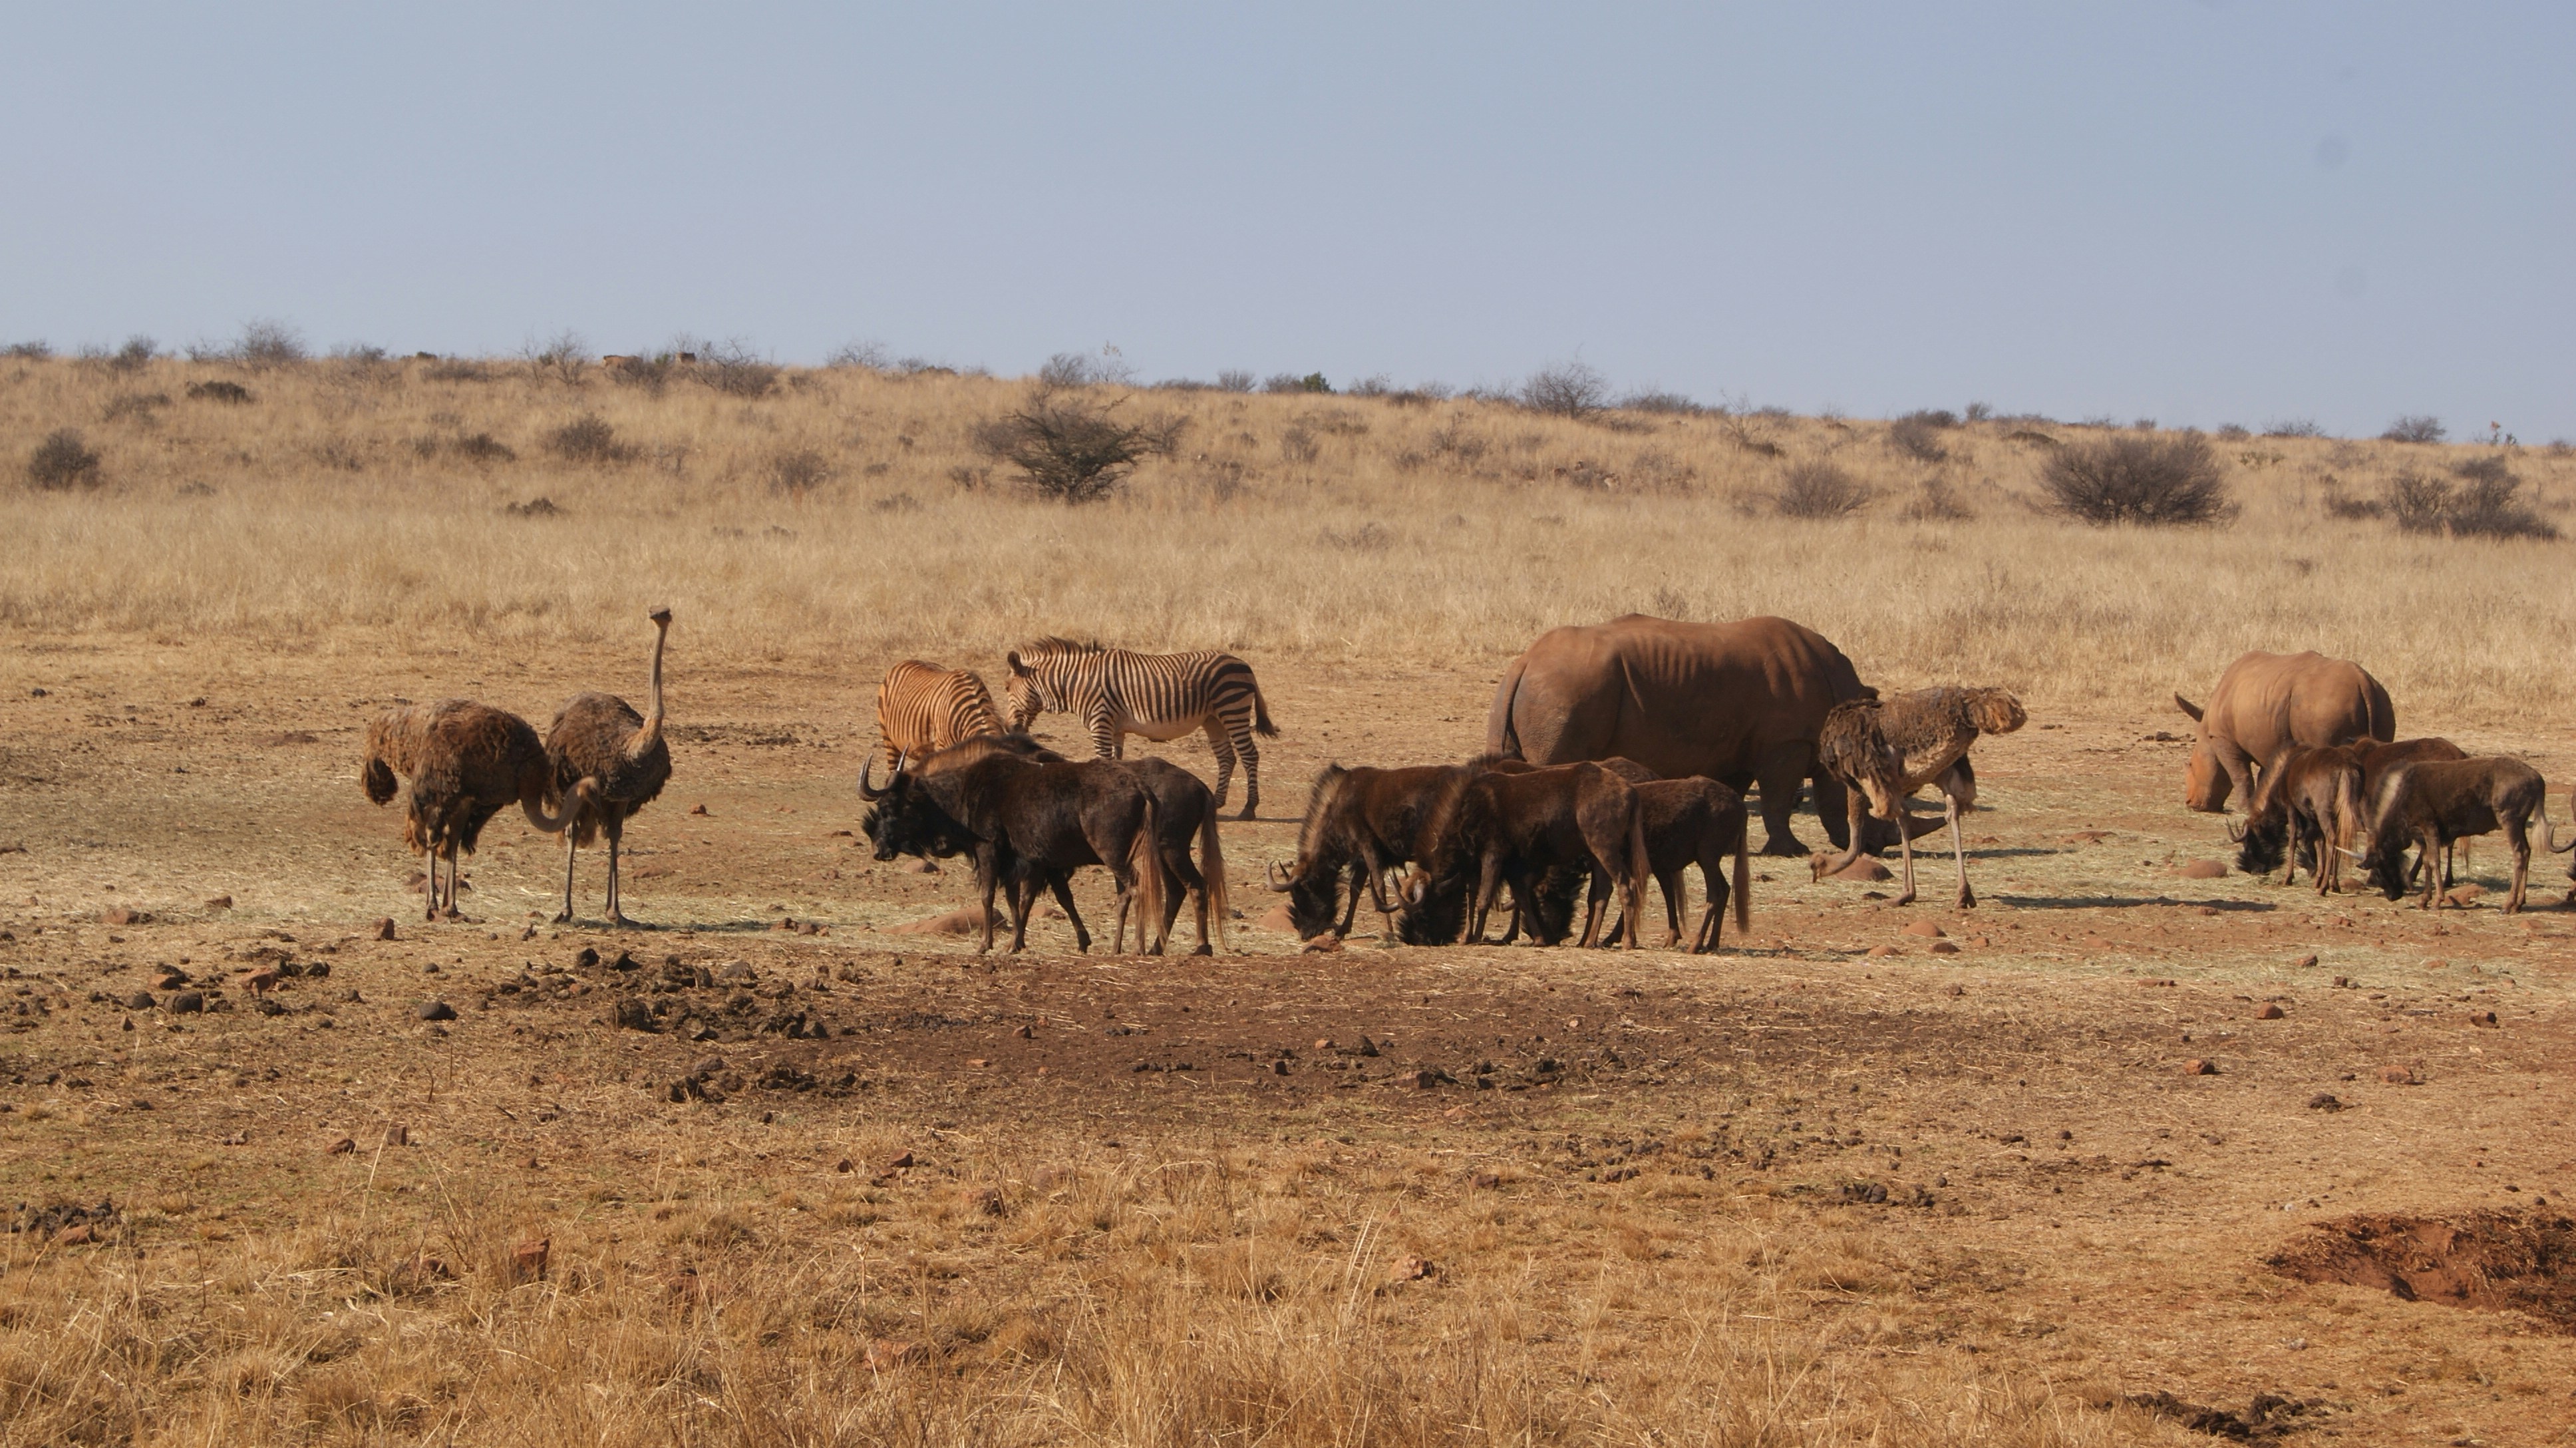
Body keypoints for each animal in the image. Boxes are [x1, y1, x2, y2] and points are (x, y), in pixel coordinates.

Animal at [1002, 638, 1278, 819]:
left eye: (1006, 688)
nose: (1009, 728)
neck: (1077, 683)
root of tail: (1244, 664)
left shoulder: (1101, 721)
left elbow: (1103, 760)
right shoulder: (1115, 728)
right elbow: (1116, 762)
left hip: (1232, 709)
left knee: (1249, 755)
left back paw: (1249, 808)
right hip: (1213, 719)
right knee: (1227, 757)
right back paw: (1217, 803)